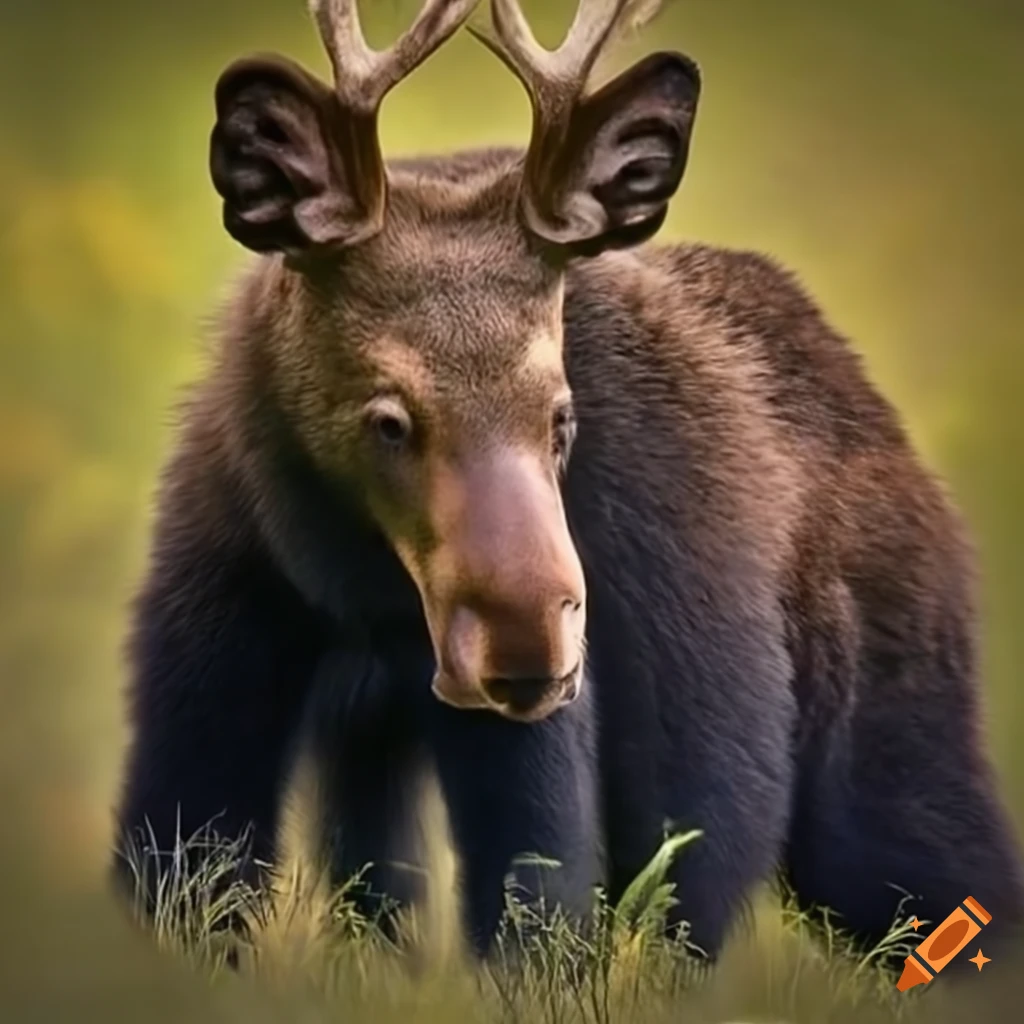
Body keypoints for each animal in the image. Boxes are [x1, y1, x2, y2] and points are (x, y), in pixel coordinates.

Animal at [113, 0, 1024, 968]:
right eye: (389, 417)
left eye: (562, 414)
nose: (526, 643)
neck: (352, 592)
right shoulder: (203, 687)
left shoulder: (538, 762)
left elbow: (534, 925)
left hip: (871, 769)